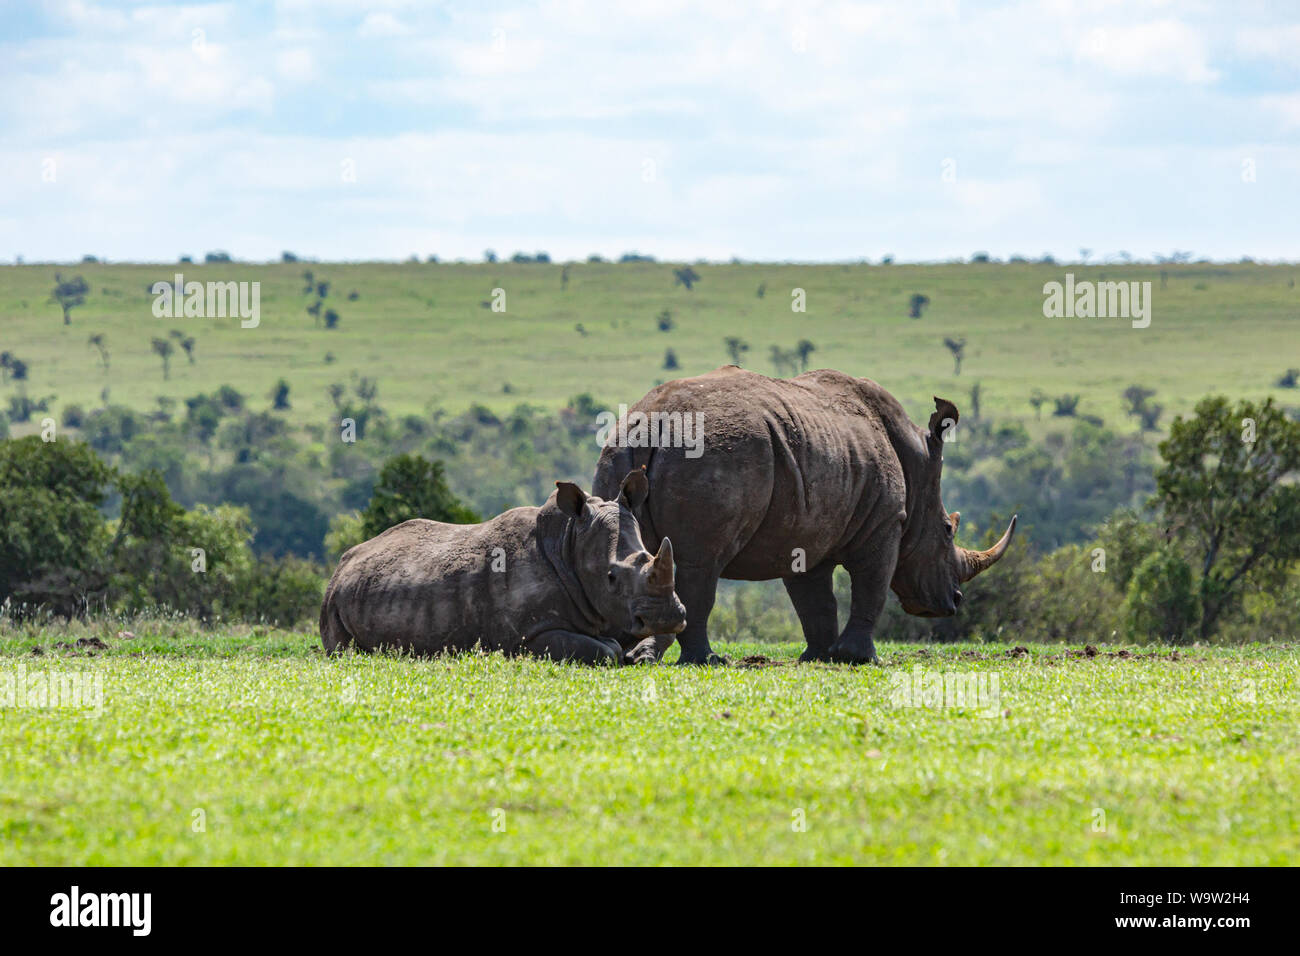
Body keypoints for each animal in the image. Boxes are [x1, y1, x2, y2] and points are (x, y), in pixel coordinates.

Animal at [320, 470, 686, 665]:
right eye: (611, 577)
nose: (667, 616)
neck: (569, 543)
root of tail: (343, 563)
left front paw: (638, 653)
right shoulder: (527, 636)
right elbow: (604, 649)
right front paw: (618, 651)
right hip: (333, 599)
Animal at [592, 366, 1016, 664]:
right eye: (947, 529)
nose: (953, 601)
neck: (917, 460)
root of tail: (652, 422)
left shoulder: (804, 527)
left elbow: (815, 598)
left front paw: (820, 656)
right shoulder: (886, 521)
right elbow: (872, 584)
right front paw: (859, 659)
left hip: (618, 450)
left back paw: (636, 656)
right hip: (711, 454)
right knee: (702, 563)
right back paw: (708, 660)